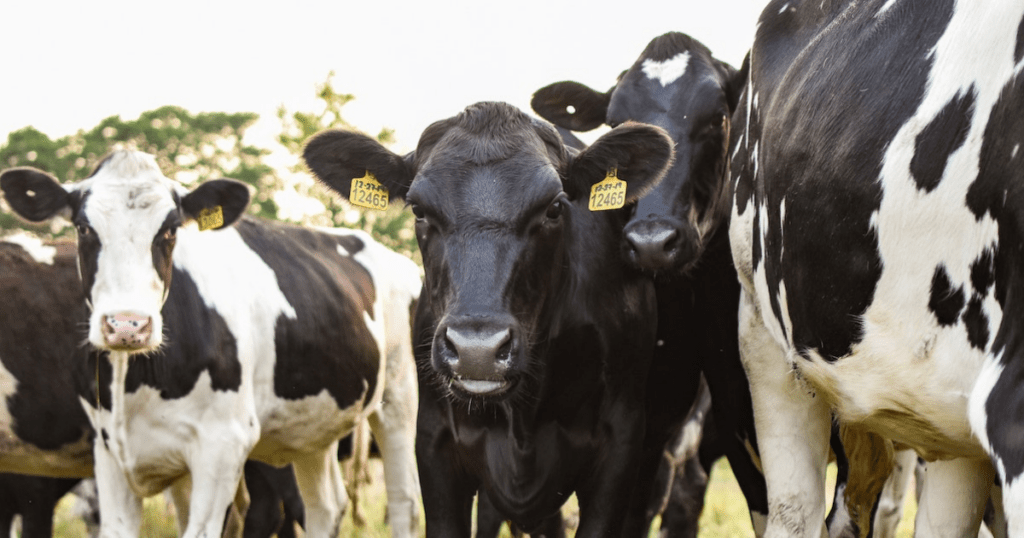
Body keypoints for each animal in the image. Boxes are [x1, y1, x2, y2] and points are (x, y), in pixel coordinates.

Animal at [0, 150, 423, 538]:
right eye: (84, 227)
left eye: (170, 229)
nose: (127, 325)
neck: (136, 380)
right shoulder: (108, 451)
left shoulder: (223, 445)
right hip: (311, 428)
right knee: (325, 507)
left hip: (399, 397)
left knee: (403, 502)